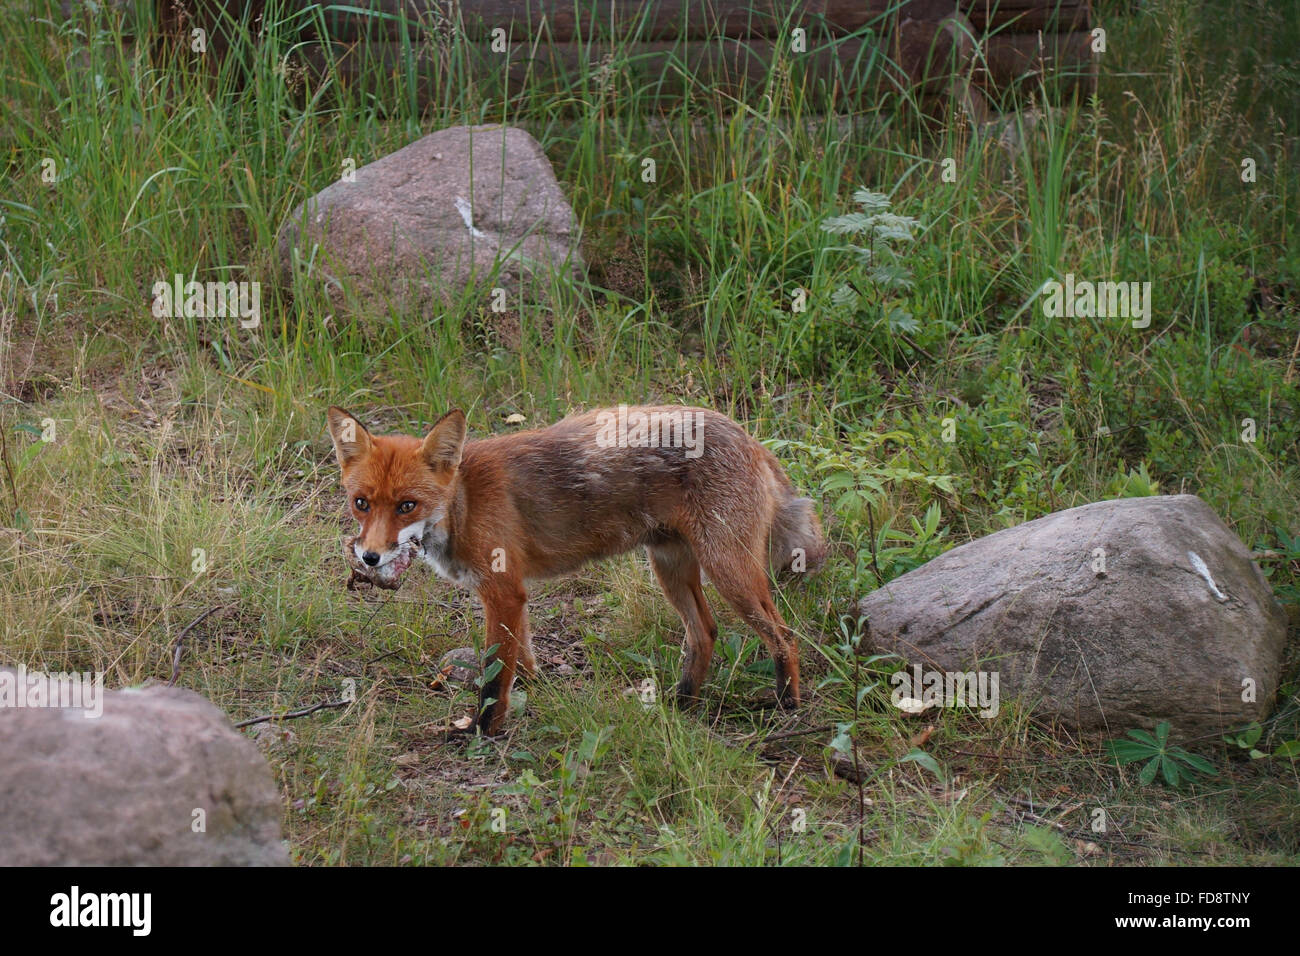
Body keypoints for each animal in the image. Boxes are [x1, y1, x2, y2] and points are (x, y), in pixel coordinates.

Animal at [326, 403, 827, 735]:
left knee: (784, 636)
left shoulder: (502, 591)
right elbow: (520, 664)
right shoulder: (515, 595)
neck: (463, 503)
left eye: (407, 505)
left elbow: (492, 680)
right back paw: (682, 702)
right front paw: (528, 695)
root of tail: (751, 437)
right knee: (705, 631)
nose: (369, 558)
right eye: (361, 503)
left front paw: (482, 732)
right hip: (669, 567)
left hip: (729, 572)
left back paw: (786, 705)